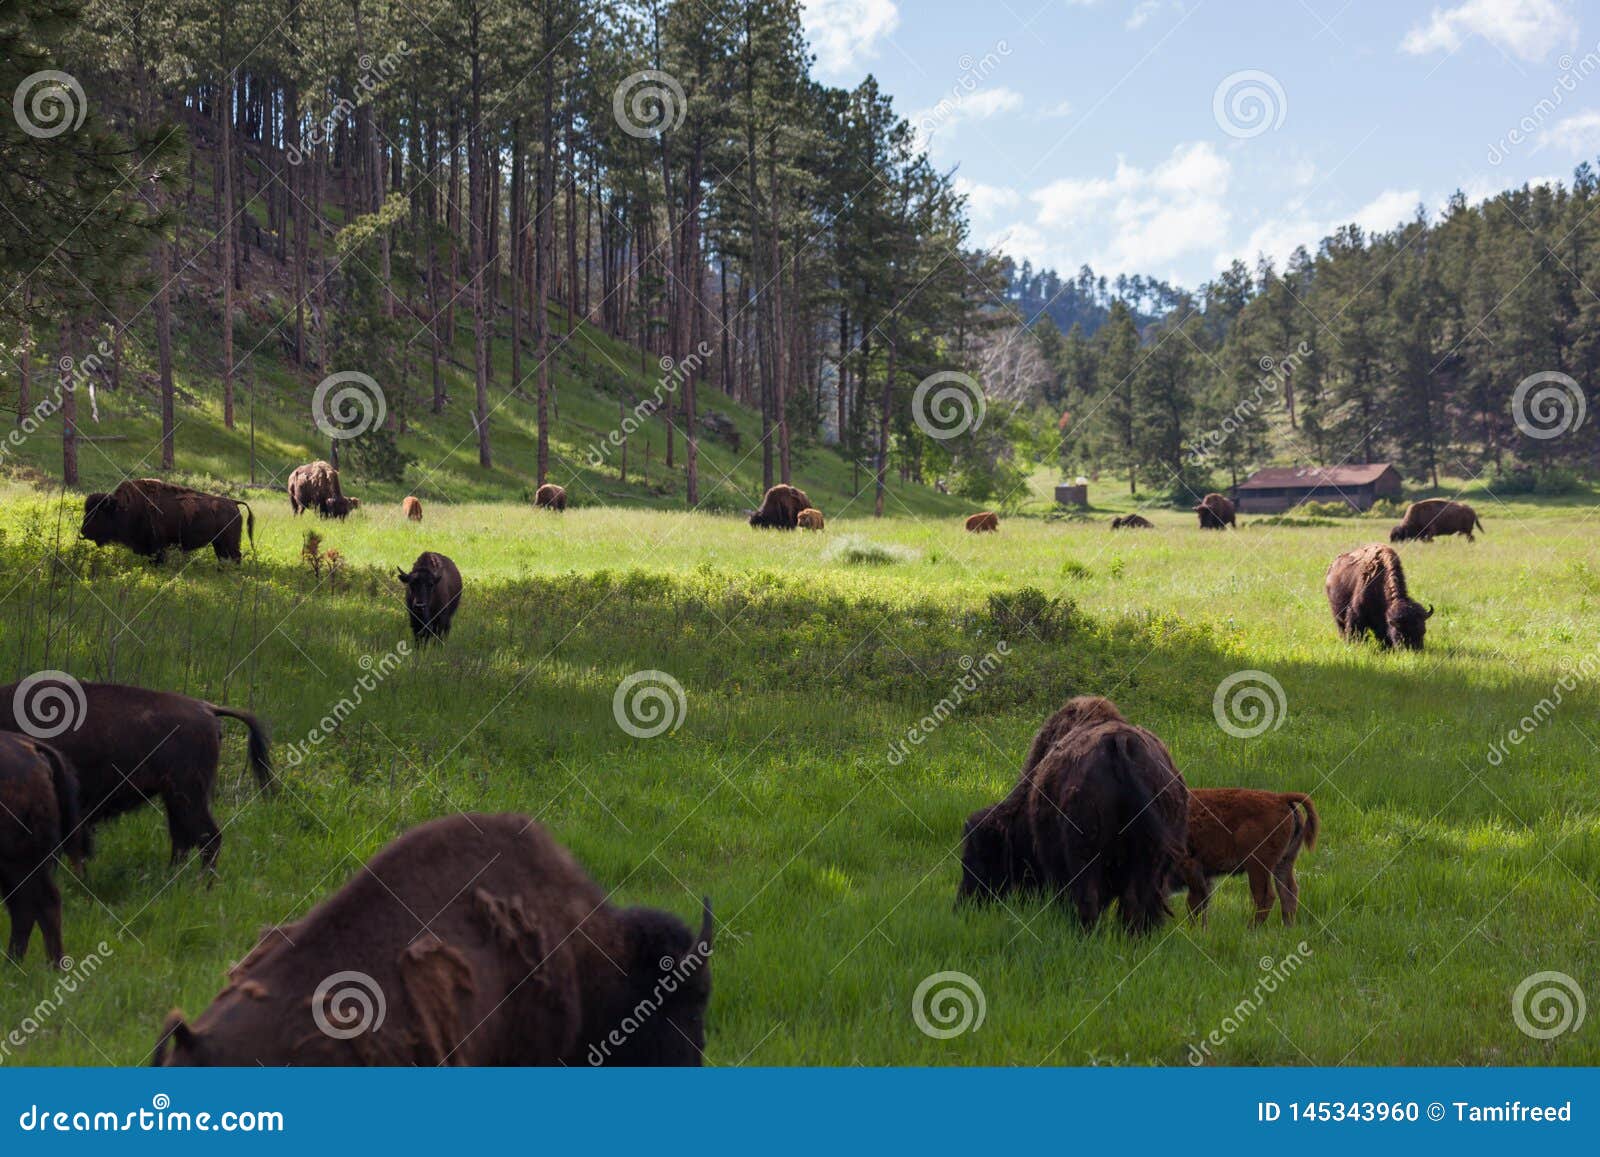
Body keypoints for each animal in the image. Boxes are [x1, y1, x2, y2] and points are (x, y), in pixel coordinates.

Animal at [0, 680, 271, 874]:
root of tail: (208, 709)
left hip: (188, 795)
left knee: (208, 838)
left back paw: (200, 887)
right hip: (175, 797)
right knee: (182, 839)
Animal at [81, 479, 255, 563]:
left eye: (98, 513)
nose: (83, 531)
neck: (123, 507)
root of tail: (233, 503)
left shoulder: (157, 546)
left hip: (229, 542)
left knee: (236, 557)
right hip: (218, 543)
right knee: (224, 558)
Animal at [1172, 789, 1318, 925]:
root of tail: (1281, 798)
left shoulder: (1191, 867)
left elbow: (1194, 902)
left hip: (1257, 864)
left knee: (1265, 896)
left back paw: (1250, 929)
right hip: (1285, 861)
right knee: (1288, 892)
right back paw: (1287, 927)